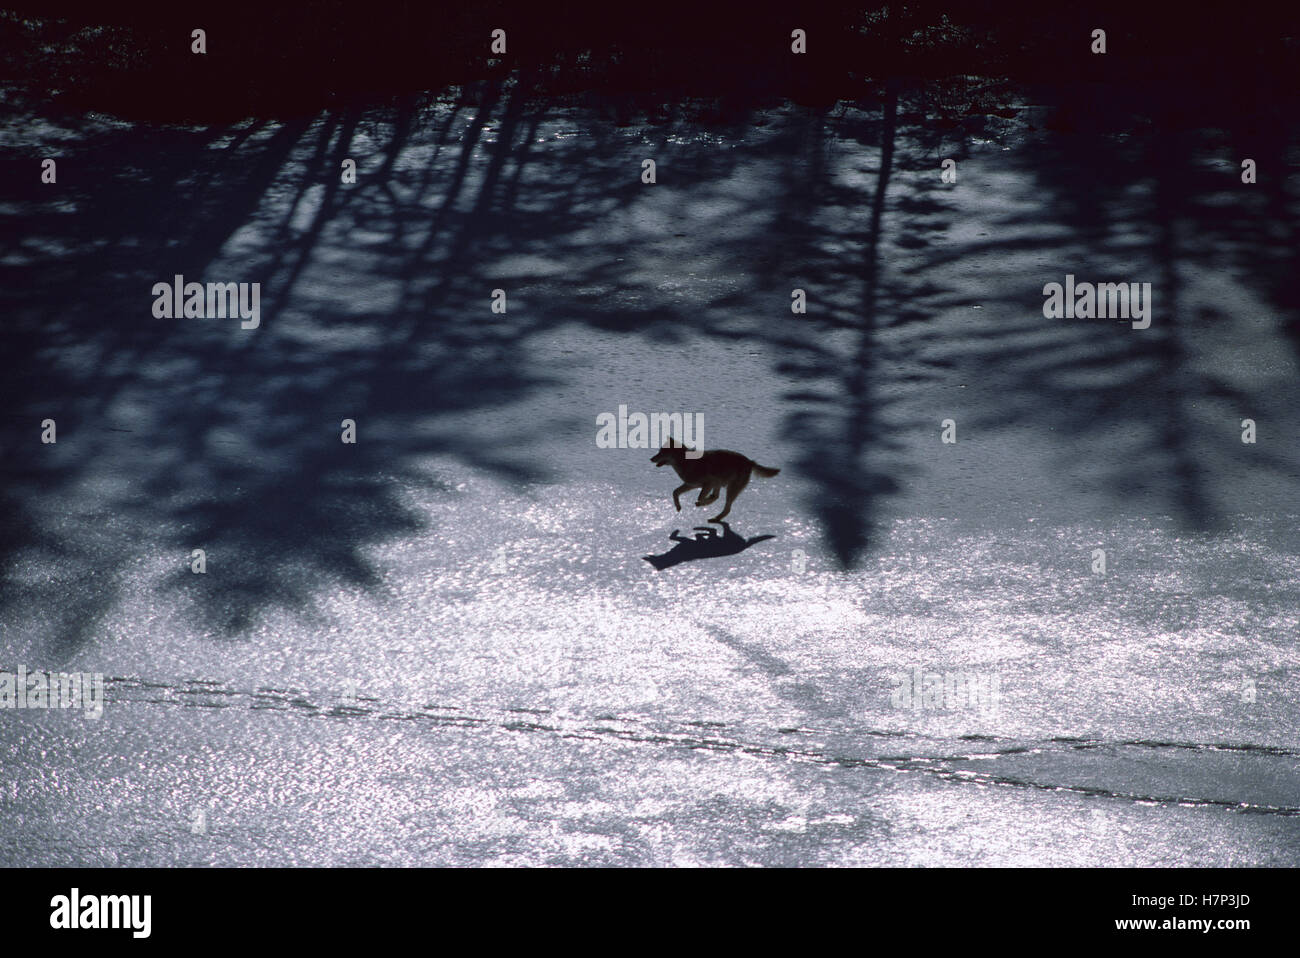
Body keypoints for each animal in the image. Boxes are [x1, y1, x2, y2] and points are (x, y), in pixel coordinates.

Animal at [650, 438, 780, 522]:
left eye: (661, 452)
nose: (650, 459)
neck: (685, 461)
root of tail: (750, 461)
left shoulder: (708, 483)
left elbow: (699, 497)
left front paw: (701, 503)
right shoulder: (692, 484)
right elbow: (675, 492)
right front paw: (678, 507)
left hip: (729, 489)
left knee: (727, 508)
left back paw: (714, 518)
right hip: (722, 484)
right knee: (717, 498)